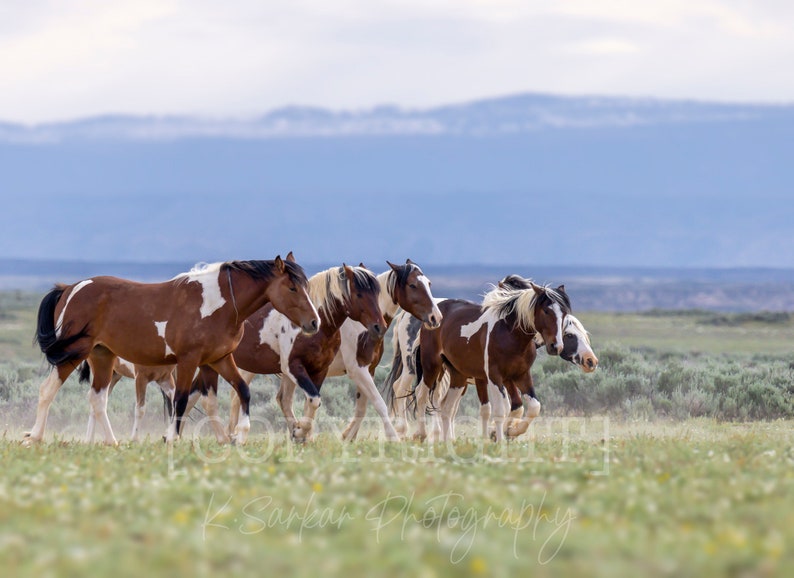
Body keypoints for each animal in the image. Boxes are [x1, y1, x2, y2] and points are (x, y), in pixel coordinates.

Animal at [27, 254, 319, 446]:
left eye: (306, 286)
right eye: (292, 287)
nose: (314, 322)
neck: (217, 304)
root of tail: (69, 289)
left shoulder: (219, 359)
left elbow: (239, 392)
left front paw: (238, 435)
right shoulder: (188, 361)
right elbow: (180, 399)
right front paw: (173, 438)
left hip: (102, 356)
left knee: (97, 400)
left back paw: (113, 443)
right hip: (74, 352)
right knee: (47, 390)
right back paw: (34, 437)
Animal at [189, 265, 386, 442]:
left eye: (377, 293)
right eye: (359, 294)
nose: (379, 327)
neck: (318, 325)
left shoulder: (319, 370)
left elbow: (311, 403)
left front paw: (300, 434)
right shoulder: (293, 367)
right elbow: (313, 400)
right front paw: (298, 432)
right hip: (211, 364)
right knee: (208, 401)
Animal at [275, 259, 443, 442]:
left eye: (428, 283)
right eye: (412, 285)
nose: (436, 317)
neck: (363, 324)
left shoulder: (369, 369)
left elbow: (361, 408)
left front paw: (348, 436)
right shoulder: (357, 370)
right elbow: (378, 403)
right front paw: (392, 438)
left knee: (284, 400)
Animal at [384, 275, 596, 441]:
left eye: (564, 314)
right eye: (570, 335)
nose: (591, 361)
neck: (511, 335)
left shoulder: (518, 376)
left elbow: (527, 407)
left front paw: (509, 432)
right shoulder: (491, 377)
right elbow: (498, 409)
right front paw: (498, 437)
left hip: (456, 375)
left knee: (444, 405)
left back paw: (444, 440)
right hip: (427, 366)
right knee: (415, 393)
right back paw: (414, 433)